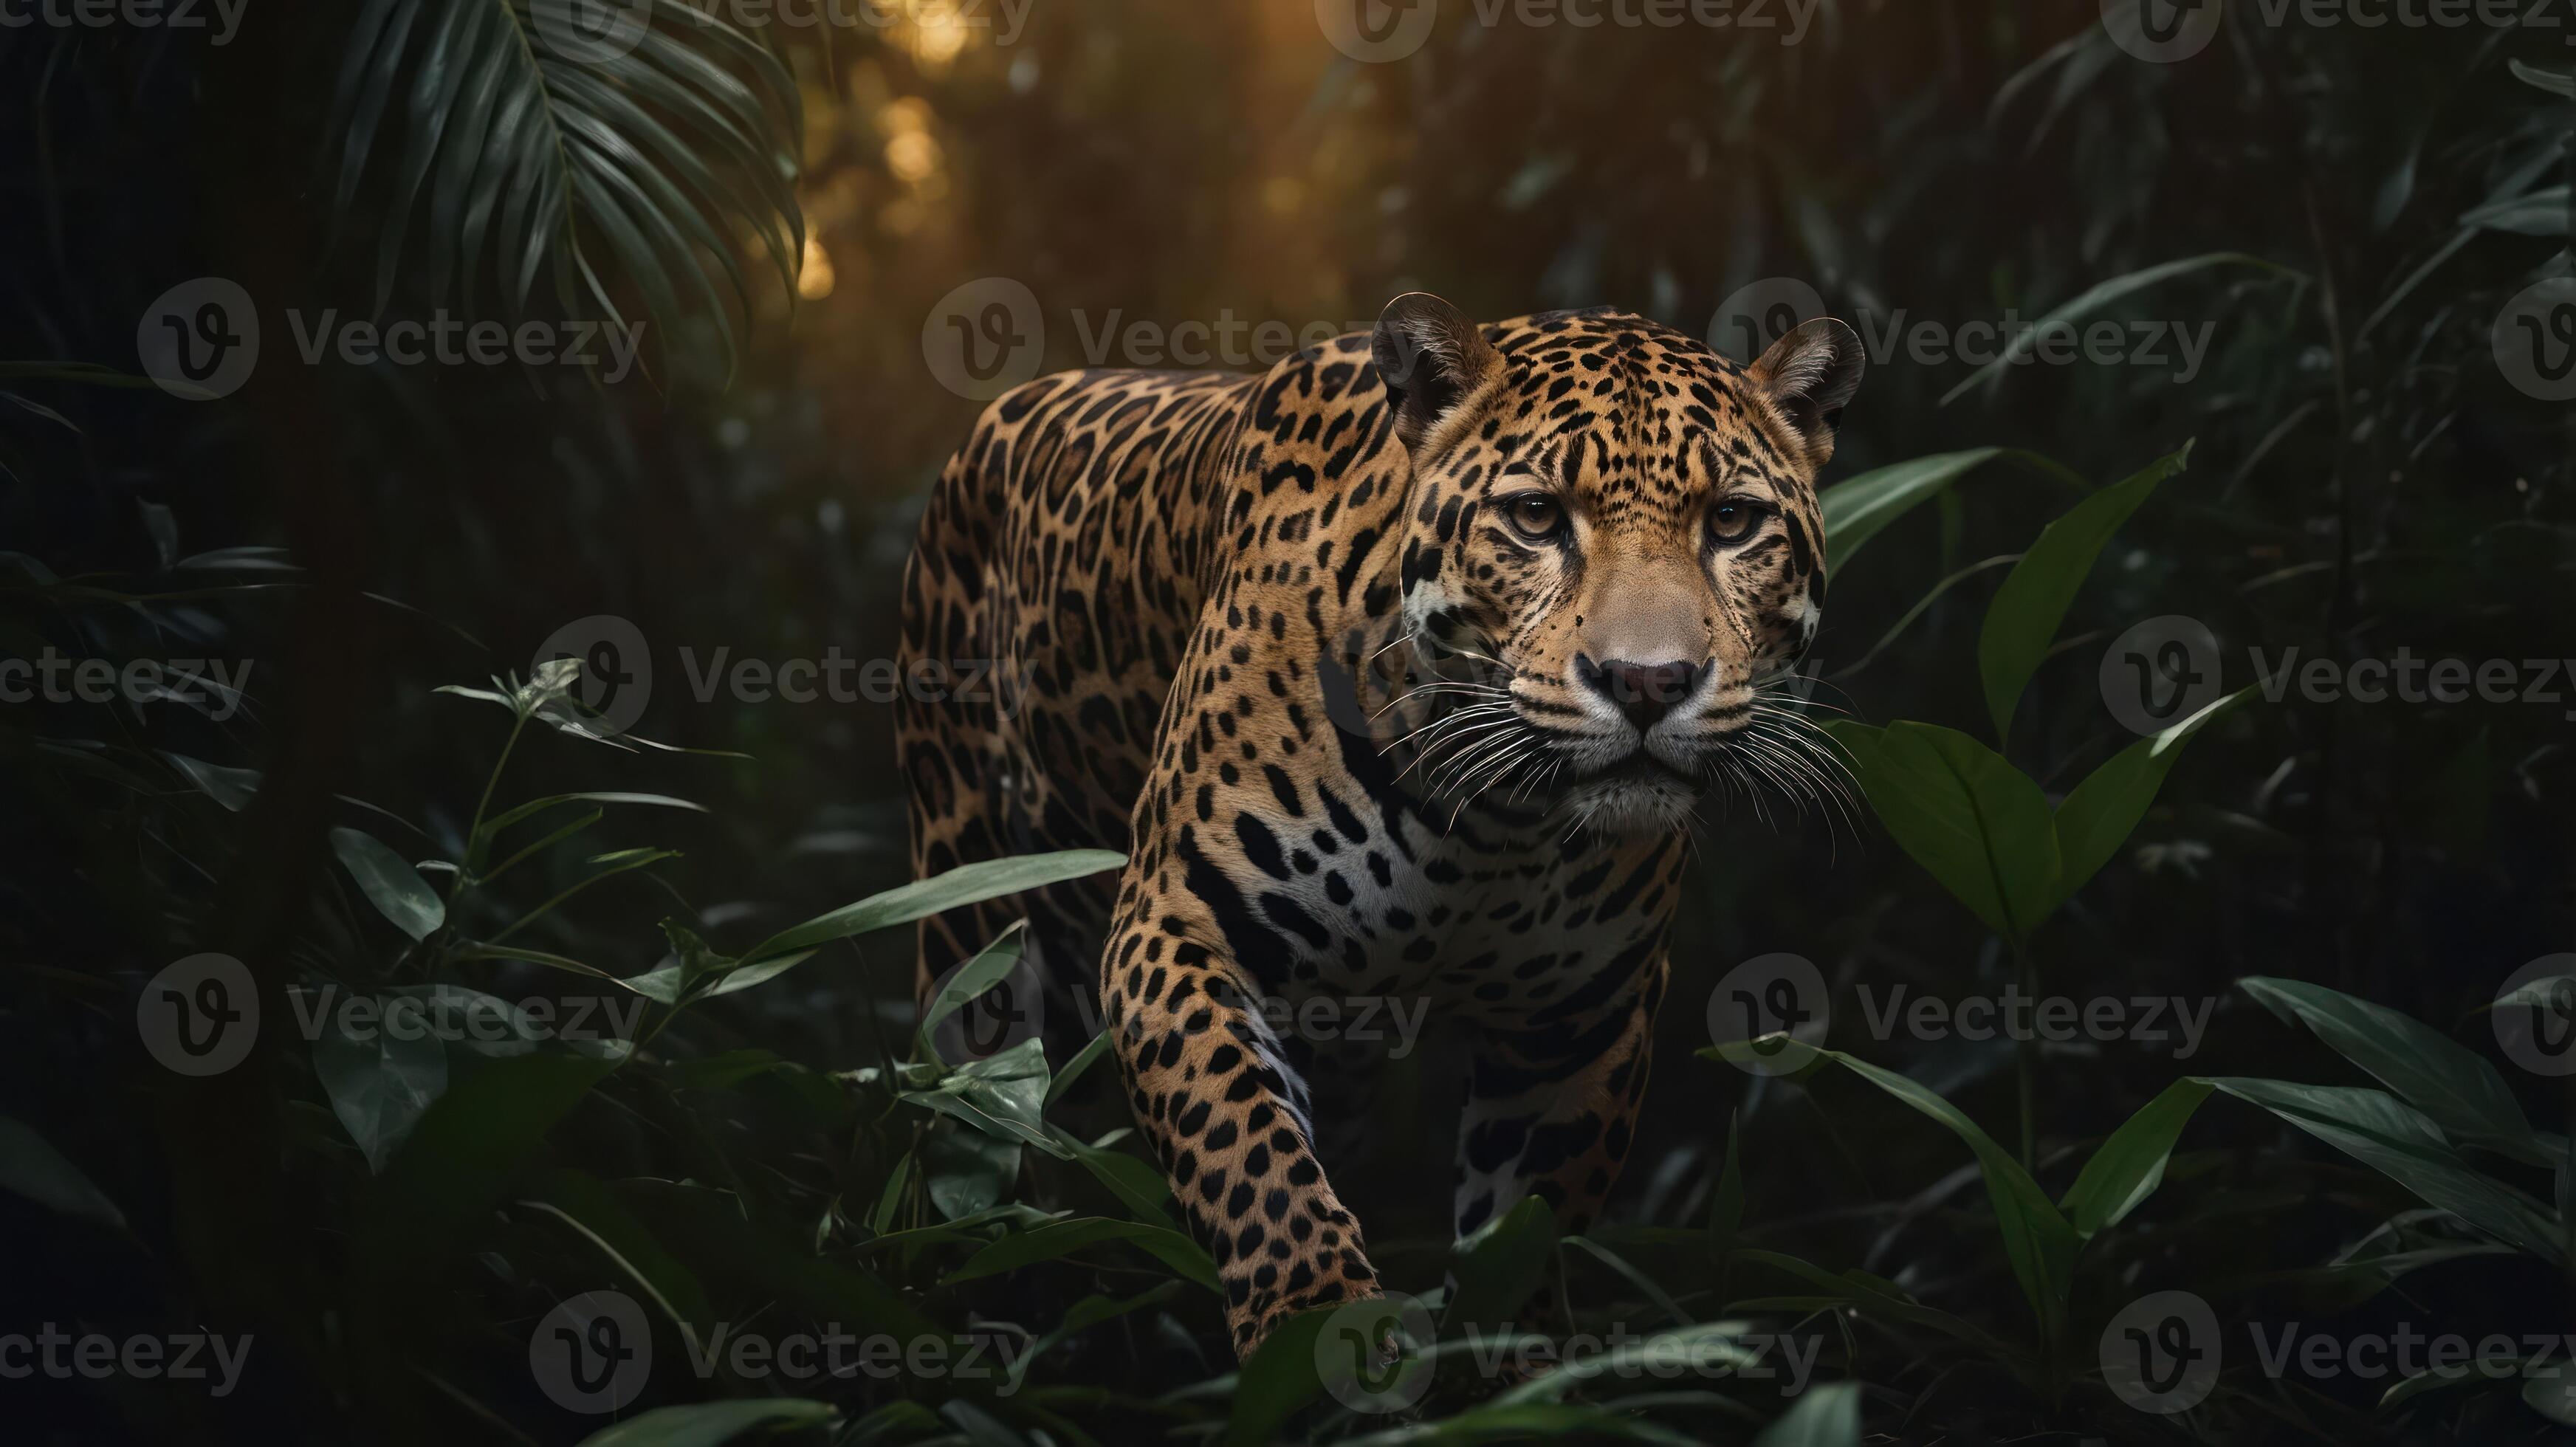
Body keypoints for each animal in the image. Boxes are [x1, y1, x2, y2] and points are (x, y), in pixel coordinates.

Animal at [898, 292, 1862, 1358]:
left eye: (1732, 521)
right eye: (1535, 517)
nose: (1647, 683)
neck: (1490, 826)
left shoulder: (1576, 1023)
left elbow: (1522, 1231)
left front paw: (1508, 1363)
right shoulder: (1175, 926)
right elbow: (1248, 1152)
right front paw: (1319, 1331)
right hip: (968, 925)